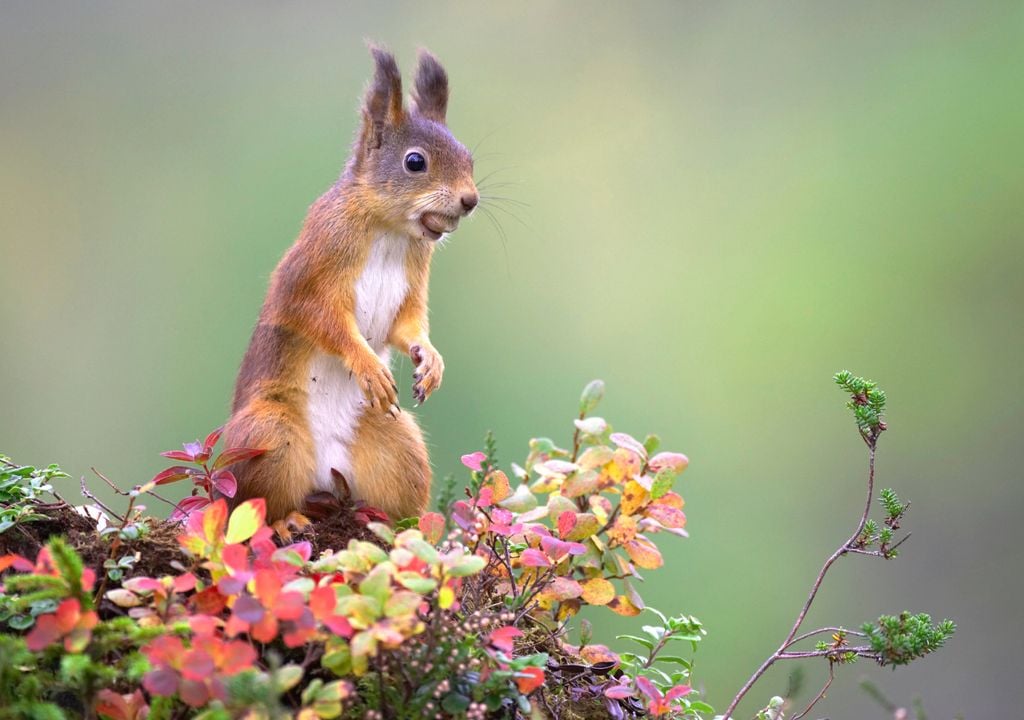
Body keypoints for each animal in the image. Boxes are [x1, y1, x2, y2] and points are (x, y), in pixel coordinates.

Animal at [223, 46, 478, 526]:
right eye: (415, 162)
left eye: (470, 157)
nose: (469, 200)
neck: (389, 231)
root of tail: (325, 477)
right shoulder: (313, 266)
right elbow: (319, 318)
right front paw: (367, 364)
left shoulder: (414, 280)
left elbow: (407, 325)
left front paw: (430, 360)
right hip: (269, 436)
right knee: (250, 506)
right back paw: (286, 521)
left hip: (398, 445)